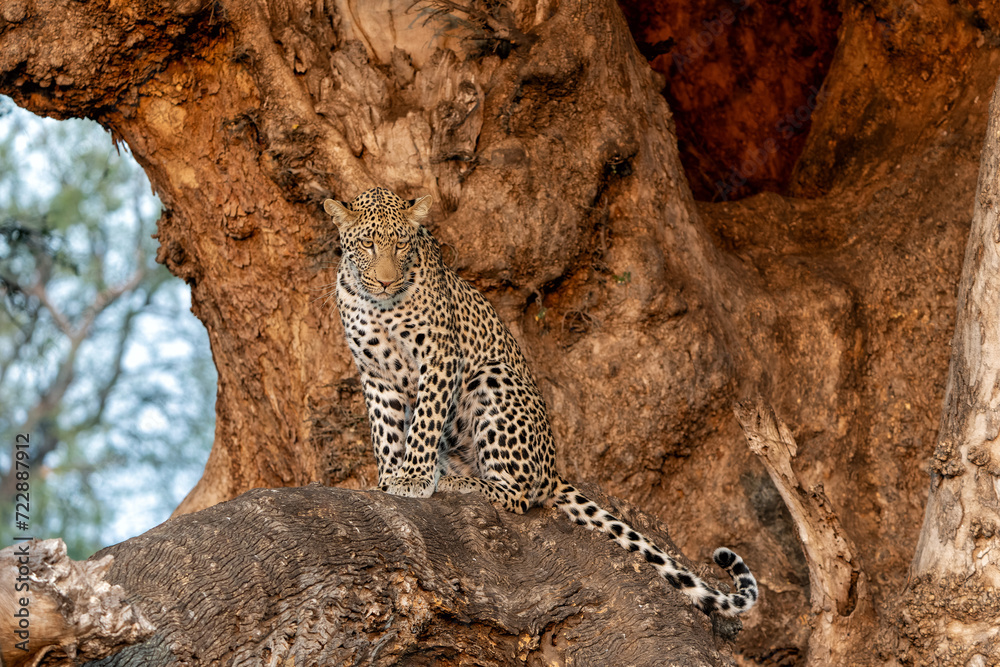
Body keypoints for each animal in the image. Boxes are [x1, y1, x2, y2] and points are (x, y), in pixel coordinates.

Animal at [323, 186, 758, 616]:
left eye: (400, 245)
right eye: (367, 244)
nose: (385, 282)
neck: (378, 304)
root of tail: (553, 469)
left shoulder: (440, 356)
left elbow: (425, 421)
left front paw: (412, 477)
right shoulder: (374, 373)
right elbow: (385, 430)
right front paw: (388, 476)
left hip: (493, 376)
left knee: (518, 494)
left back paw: (458, 482)